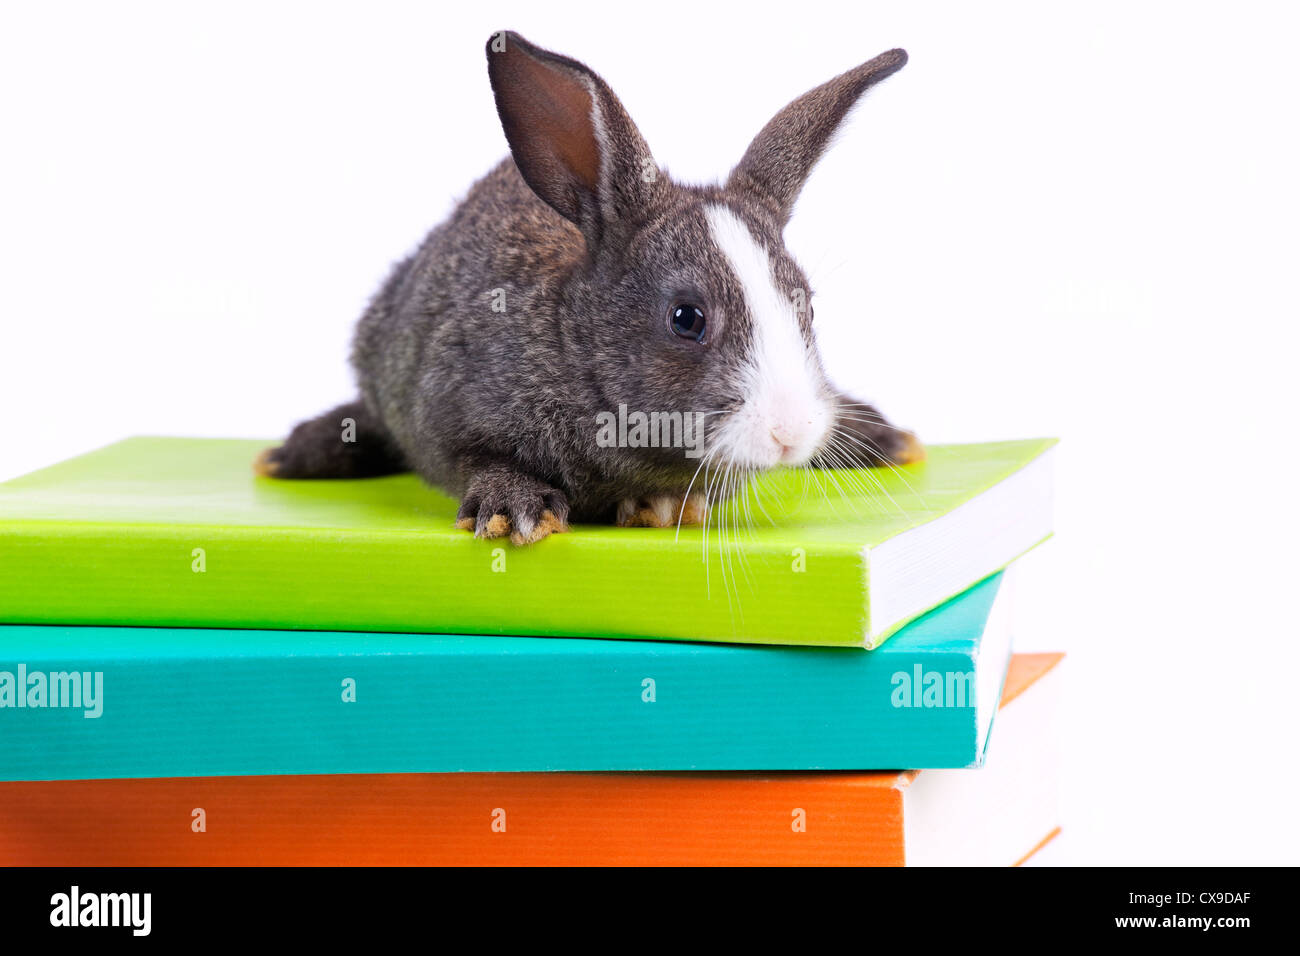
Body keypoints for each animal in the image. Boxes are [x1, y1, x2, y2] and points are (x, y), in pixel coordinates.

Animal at [255, 30, 923, 545]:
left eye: (806, 305)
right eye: (687, 318)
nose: (792, 434)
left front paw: (662, 505)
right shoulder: (443, 406)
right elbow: (477, 461)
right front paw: (515, 511)